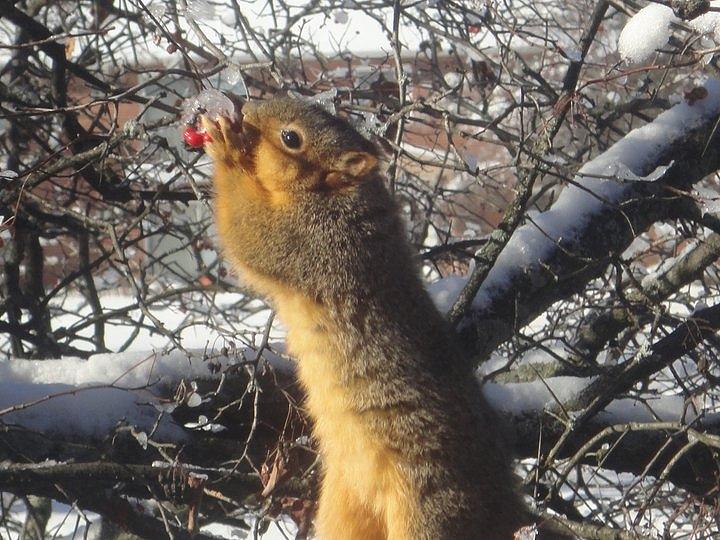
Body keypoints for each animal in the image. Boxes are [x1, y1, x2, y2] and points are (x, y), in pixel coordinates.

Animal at [201, 97, 567, 539]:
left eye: (291, 138)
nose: (248, 106)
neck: (343, 197)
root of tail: (502, 507)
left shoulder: (314, 241)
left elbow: (251, 235)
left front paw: (226, 147)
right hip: (345, 509)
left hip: (429, 509)